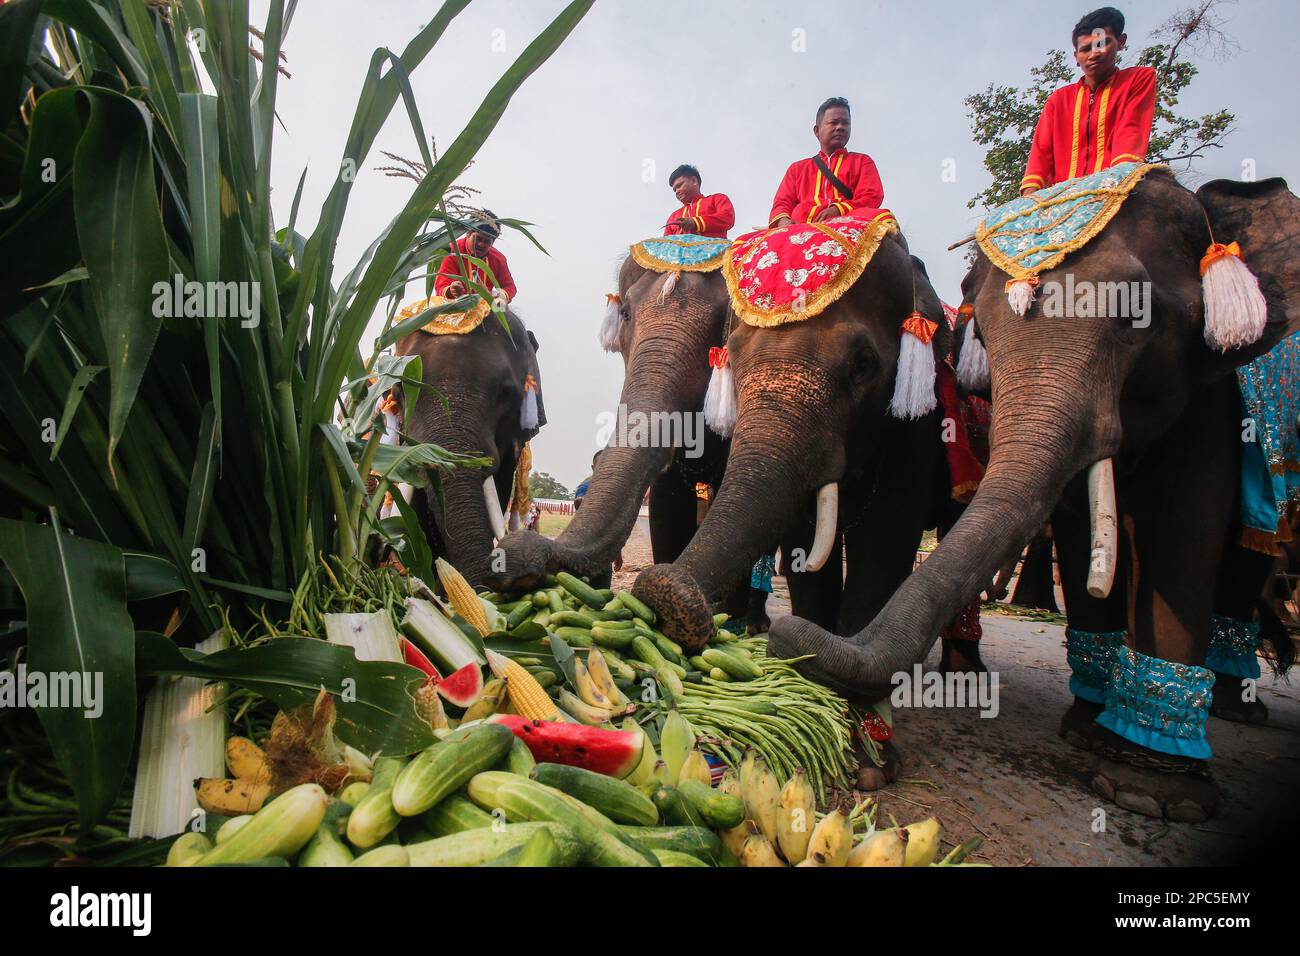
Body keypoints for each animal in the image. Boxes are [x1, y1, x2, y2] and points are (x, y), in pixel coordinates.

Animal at [767, 169, 1300, 820]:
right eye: (982, 333)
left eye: (1139, 317)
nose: (778, 639)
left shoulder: (1212, 389)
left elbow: (1184, 525)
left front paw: (1149, 794)